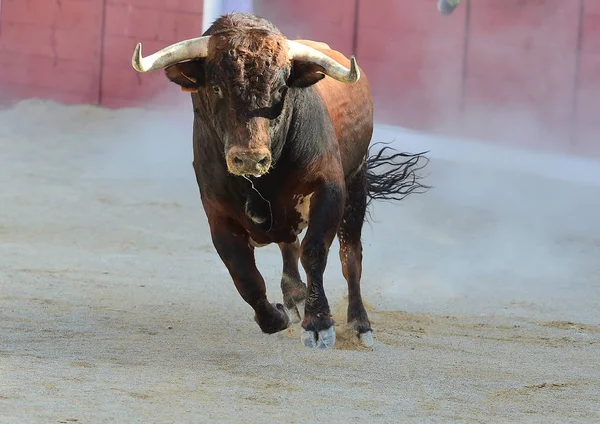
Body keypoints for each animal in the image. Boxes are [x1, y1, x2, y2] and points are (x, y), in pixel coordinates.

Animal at [131, 13, 426, 350]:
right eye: (217, 88)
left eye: (279, 89)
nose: (249, 158)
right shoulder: (217, 213)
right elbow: (243, 272)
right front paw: (276, 317)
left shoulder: (329, 188)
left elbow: (315, 251)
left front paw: (319, 323)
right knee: (289, 245)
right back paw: (294, 296)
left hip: (356, 183)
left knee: (350, 255)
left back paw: (359, 323)